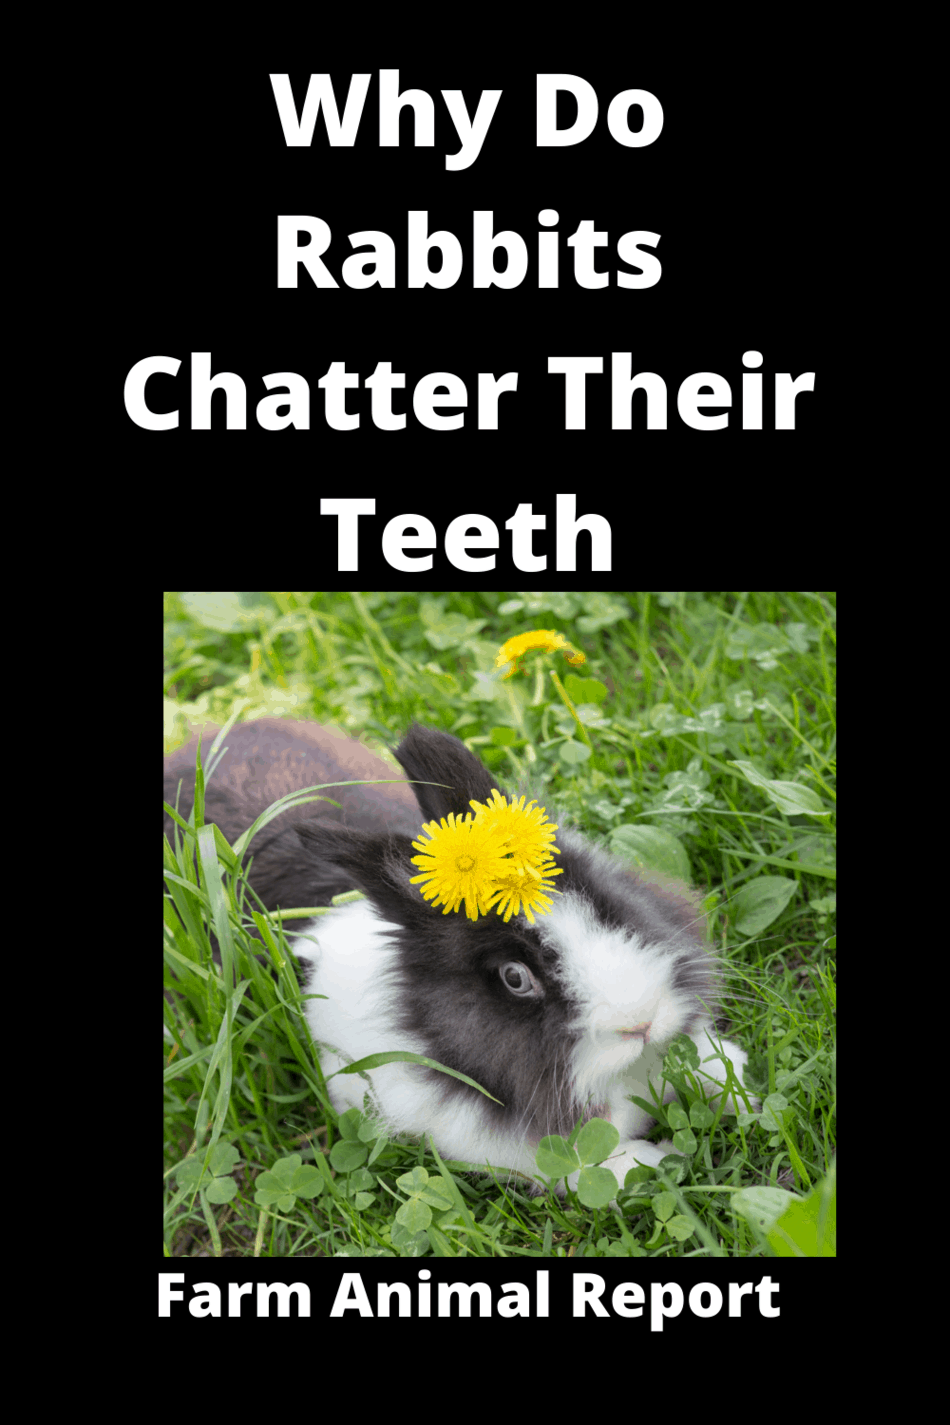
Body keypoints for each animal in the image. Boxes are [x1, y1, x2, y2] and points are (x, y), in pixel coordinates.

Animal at [165, 719, 755, 1196]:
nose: (642, 1021)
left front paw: (741, 1093)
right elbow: (605, 1165)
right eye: (515, 978)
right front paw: (658, 1160)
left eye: (602, 904)